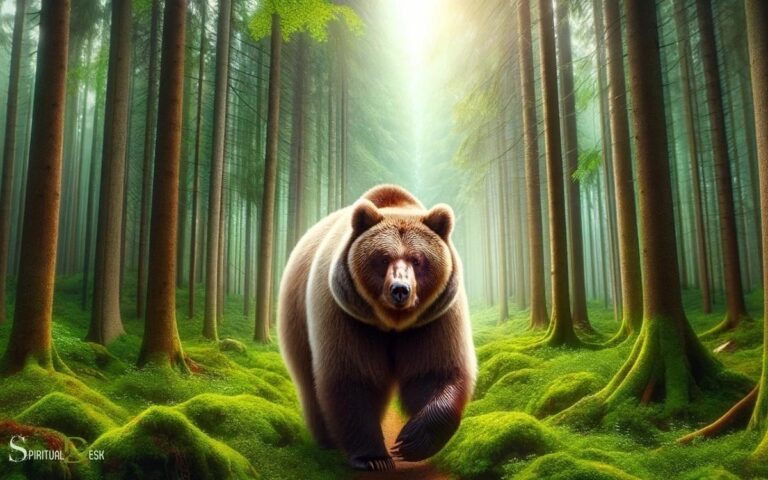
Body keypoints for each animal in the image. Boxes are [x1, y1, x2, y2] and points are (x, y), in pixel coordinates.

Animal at [278, 184, 476, 472]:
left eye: (417, 259)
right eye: (383, 258)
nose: (400, 290)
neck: (392, 322)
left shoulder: (435, 317)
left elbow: (436, 370)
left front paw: (412, 441)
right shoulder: (346, 315)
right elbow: (352, 376)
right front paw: (374, 458)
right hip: (297, 316)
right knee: (308, 378)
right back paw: (326, 439)